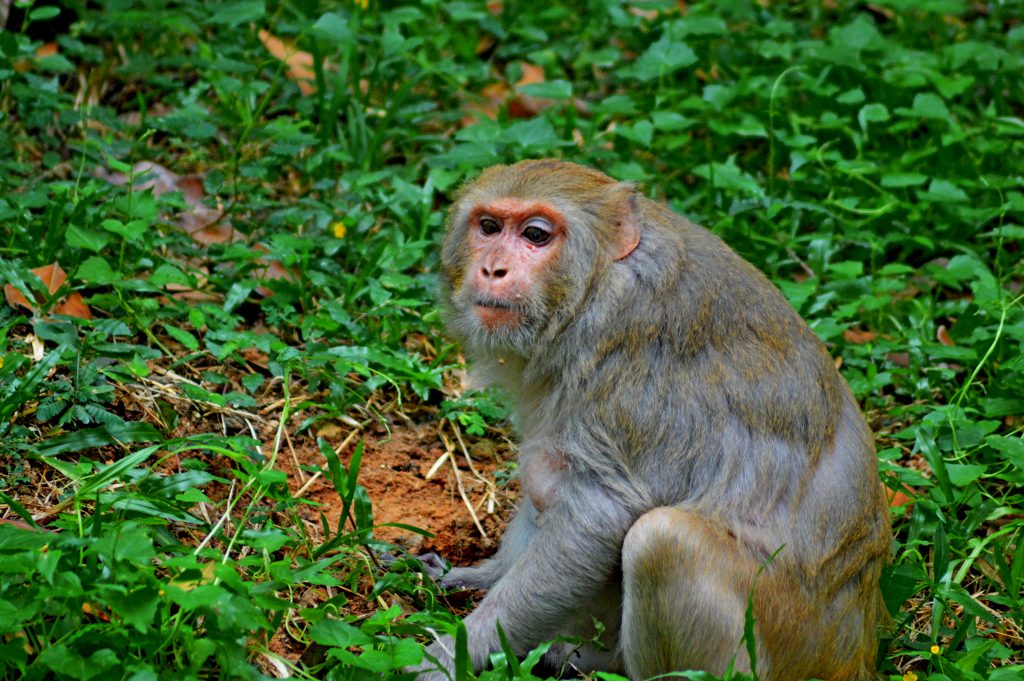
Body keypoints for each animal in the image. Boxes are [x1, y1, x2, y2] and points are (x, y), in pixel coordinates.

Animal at [418, 159, 891, 681]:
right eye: (488, 227)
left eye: (536, 235)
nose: (492, 269)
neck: (597, 283)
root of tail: (853, 654)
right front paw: (475, 577)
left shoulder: (629, 368)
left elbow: (597, 517)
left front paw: (455, 654)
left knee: (661, 540)